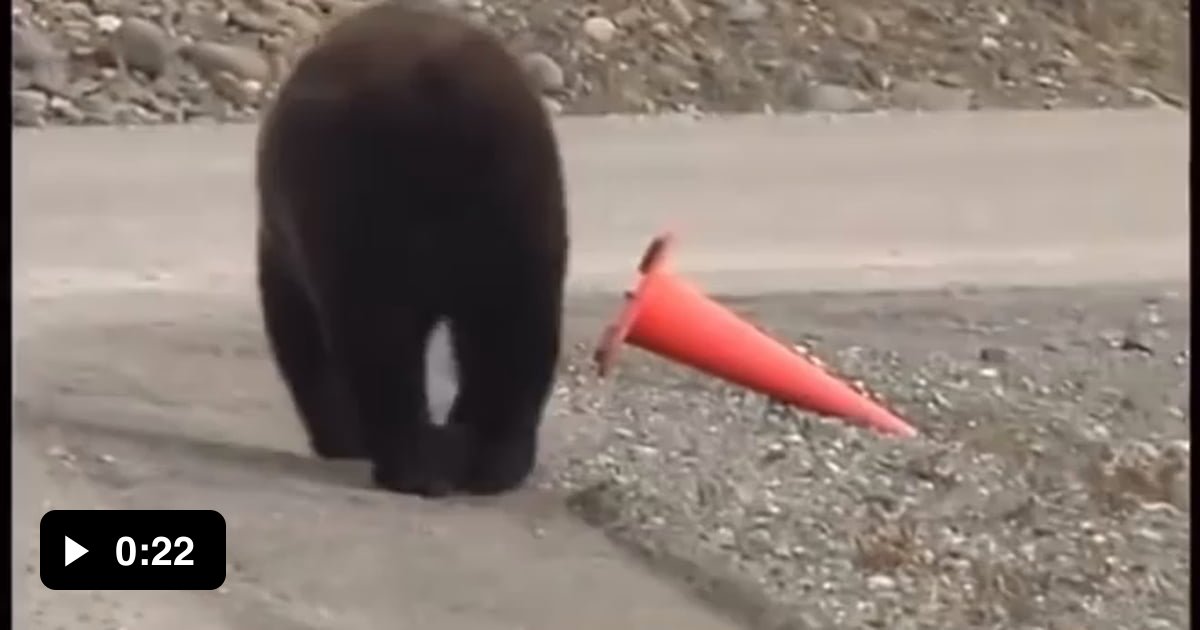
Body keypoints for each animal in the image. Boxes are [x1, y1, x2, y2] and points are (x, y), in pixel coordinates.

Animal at [254, 0, 568, 498]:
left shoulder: (285, 242)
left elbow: (296, 328)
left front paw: (343, 437)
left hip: (360, 206)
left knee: (377, 336)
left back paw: (411, 464)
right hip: (518, 210)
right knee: (515, 332)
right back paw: (489, 463)